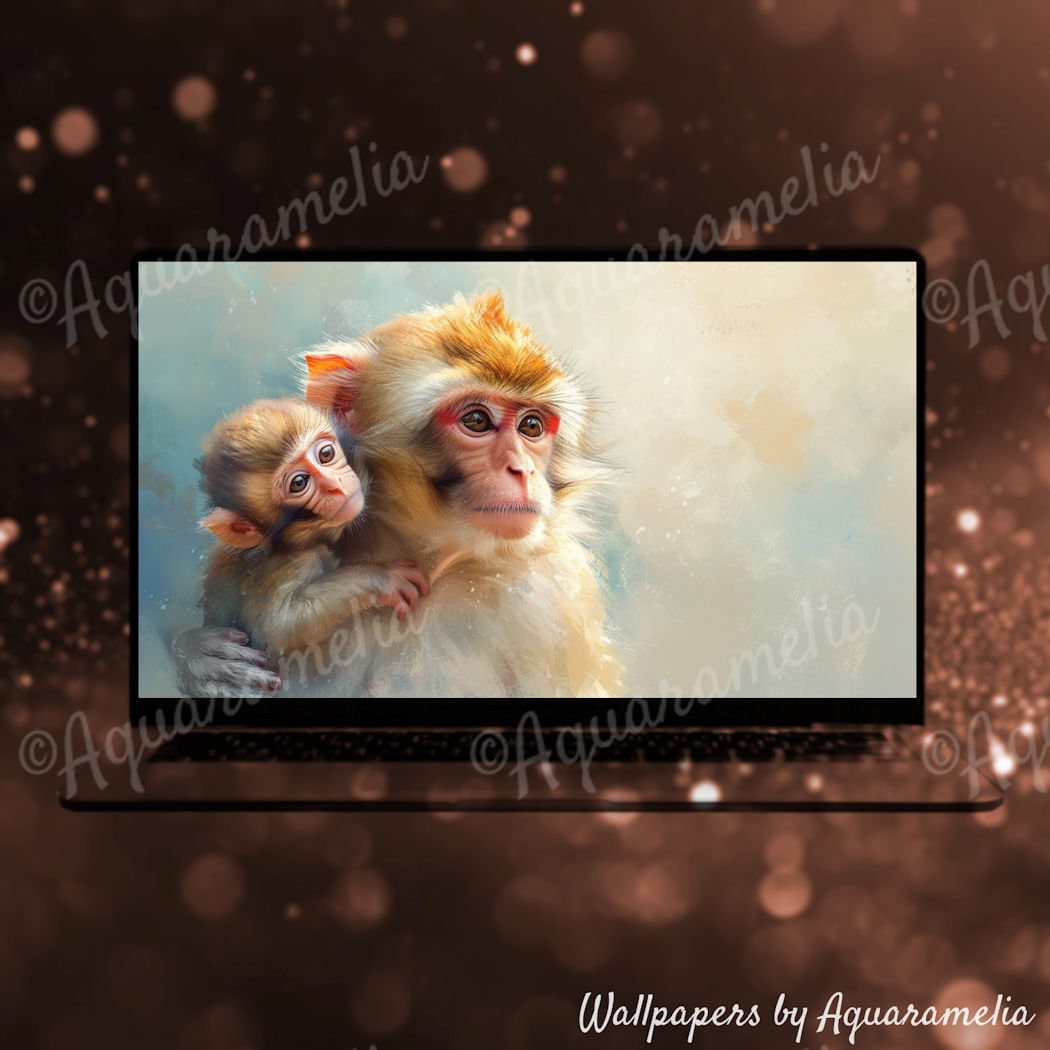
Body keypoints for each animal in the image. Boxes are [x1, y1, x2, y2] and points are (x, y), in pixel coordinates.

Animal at [194, 397, 428, 683]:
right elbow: (278, 626)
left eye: (325, 454)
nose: (334, 485)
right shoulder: (287, 563)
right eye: (298, 483)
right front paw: (380, 578)